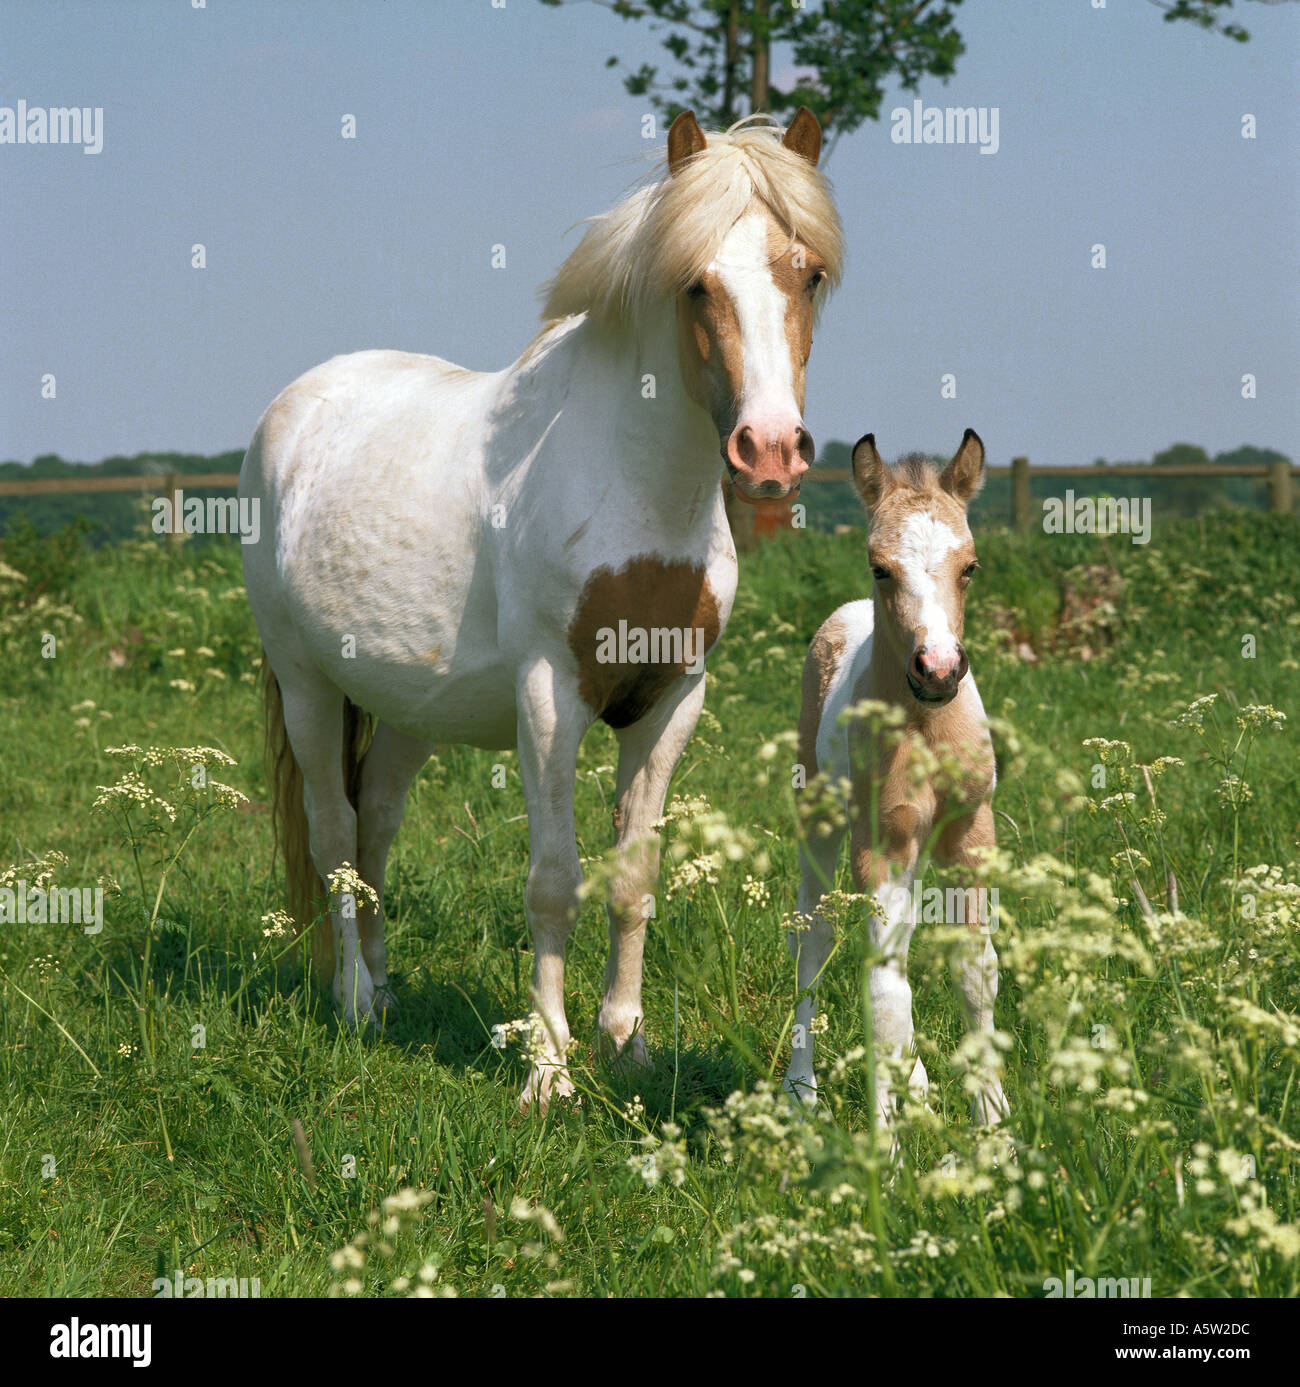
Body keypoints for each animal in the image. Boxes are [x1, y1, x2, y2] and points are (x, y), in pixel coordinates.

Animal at [240, 108, 843, 1109]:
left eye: (809, 274)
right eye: (695, 284)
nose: (768, 450)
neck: (637, 490)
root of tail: (285, 415)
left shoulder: (672, 701)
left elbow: (634, 879)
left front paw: (626, 1043)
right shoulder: (550, 695)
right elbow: (555, 879)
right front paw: (548, 1068)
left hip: (410, 710)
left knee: (375, 822)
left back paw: (387, 991)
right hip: (307, 686)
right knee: (332, 833)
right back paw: (354, 1002)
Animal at [782, 429, 1008, 1132]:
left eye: (971, 566)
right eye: (881, 567)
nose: (937, 669)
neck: (927, 729)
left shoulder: (971, 833)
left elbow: (975, 969)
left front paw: (995, 1121)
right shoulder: (880, 842)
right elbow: (882, 989)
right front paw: (886, 1141)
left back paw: (918, 1084)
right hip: (820, 819)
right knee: (815, 939)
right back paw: (801, 1091)